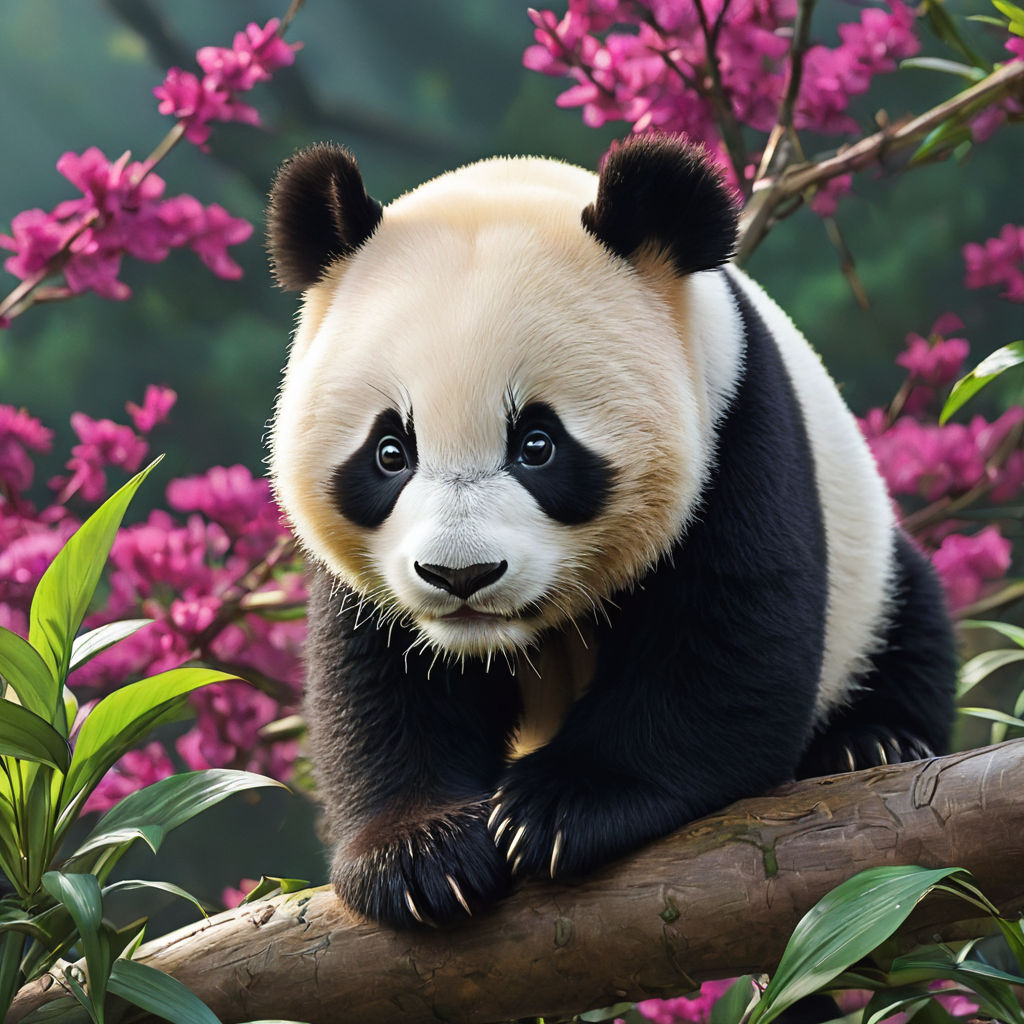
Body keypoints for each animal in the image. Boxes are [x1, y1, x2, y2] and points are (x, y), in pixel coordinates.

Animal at [265, 135, 957, 929]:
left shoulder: (734, 423)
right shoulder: (370, 576)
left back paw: (869, 743)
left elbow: (724, 641)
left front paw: (558, 808)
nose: (460, 577)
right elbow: (381, 680)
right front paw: (421, 856)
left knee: (911, 620)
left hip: (869, 567)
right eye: (389, 452)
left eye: (538, 445)